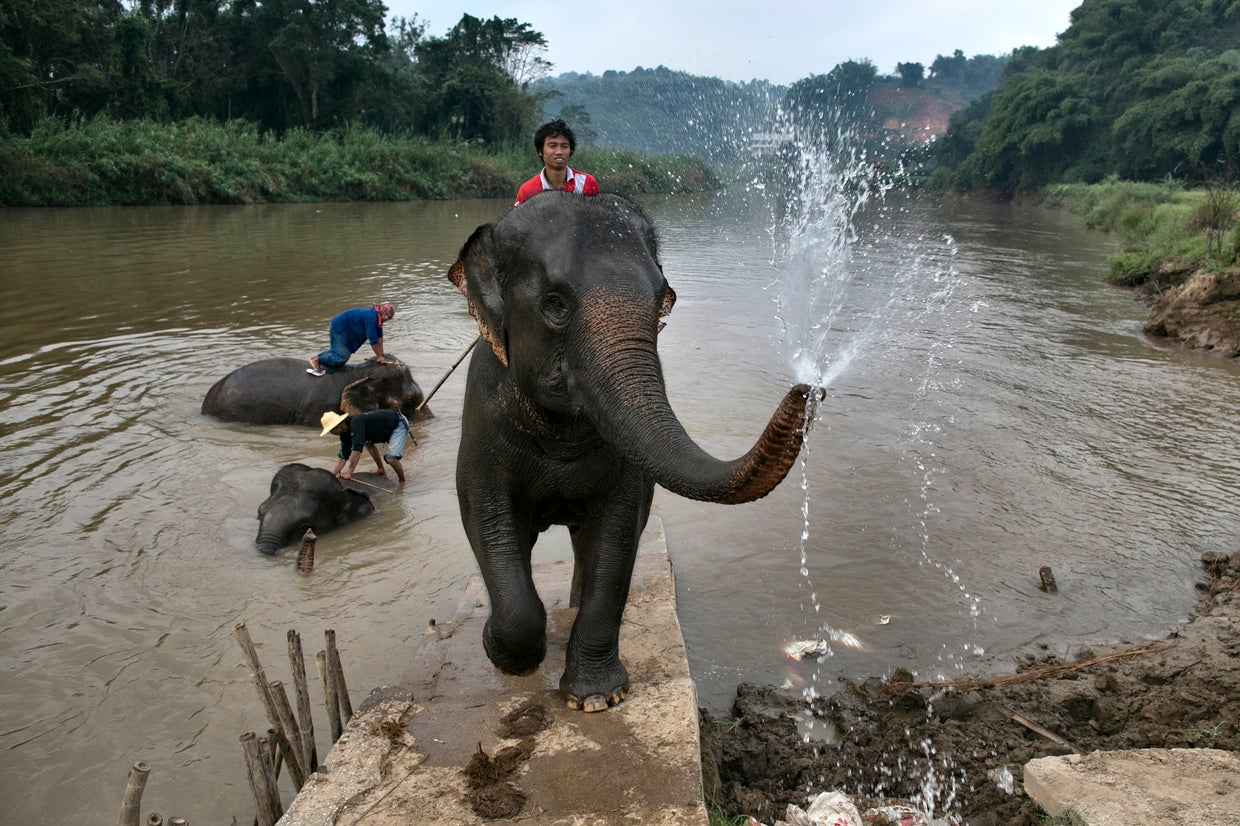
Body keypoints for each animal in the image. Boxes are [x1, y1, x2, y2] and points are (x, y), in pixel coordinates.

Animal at [448, 191, 820, 712]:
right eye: (555, 304)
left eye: (660, 307)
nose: (809, 389)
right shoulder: (482, 424)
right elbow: (487, 518)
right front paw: (502, 654)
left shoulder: (628, 474)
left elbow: (620, 532)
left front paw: (596, 700)